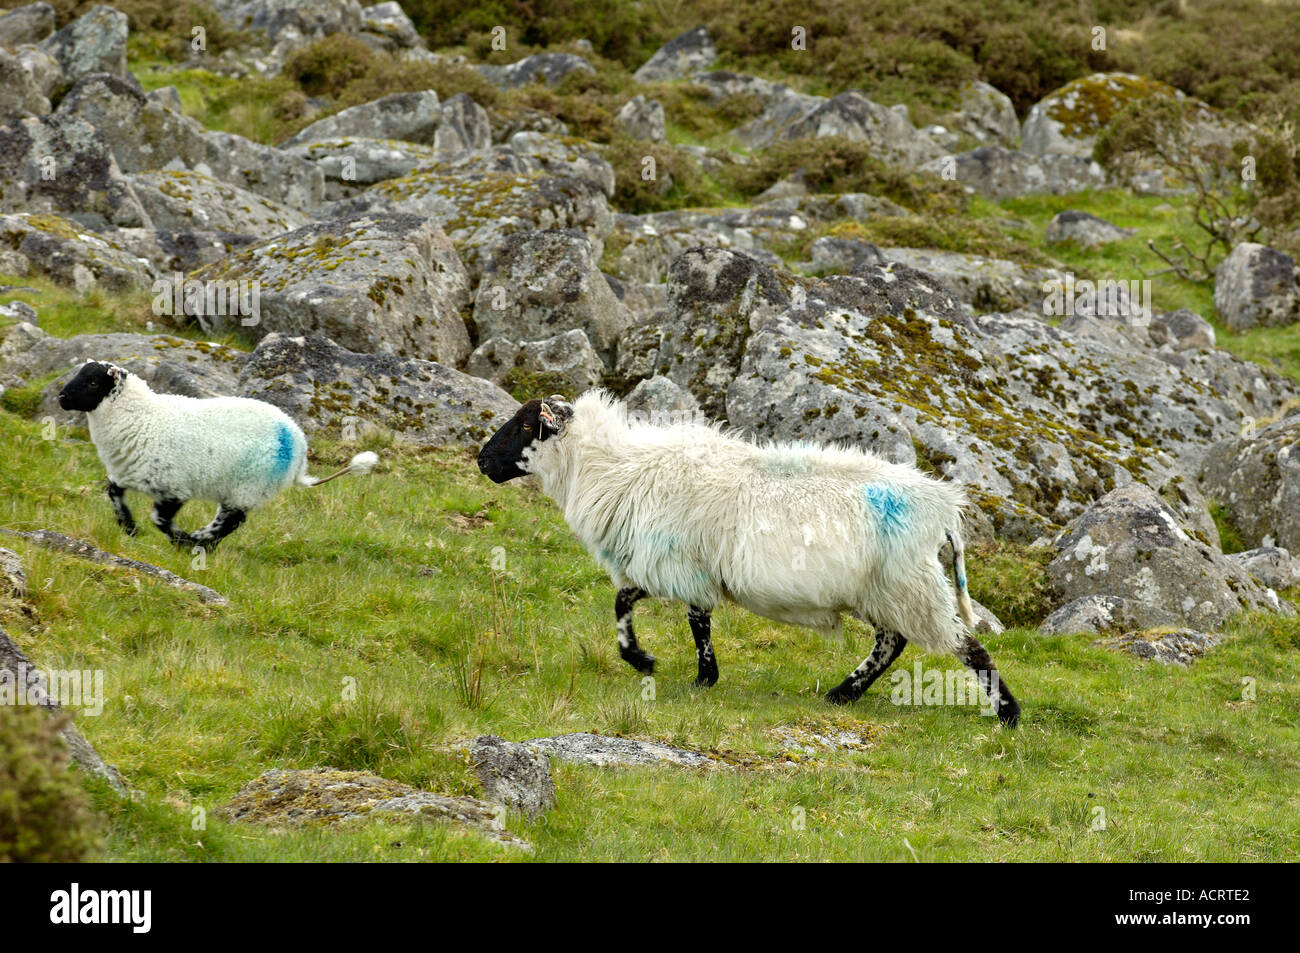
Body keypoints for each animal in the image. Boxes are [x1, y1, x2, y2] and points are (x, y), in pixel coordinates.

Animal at [57, 361, 378, 550]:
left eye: (93, 383)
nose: (61, 398)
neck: (142, 416)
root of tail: (297, 443)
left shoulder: (174, 487)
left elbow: (160, 520)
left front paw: (180, 539)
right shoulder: (125, 475)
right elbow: (114, 496)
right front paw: (130, 529)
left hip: (248, 486)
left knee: (231, 521)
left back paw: (199, 541)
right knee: (229, 520)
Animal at [477, 391, 1020, 725]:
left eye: (525, 424)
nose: (482, 461)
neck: (611, 467)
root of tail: (943, 508)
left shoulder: (677, 562)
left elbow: (655, 610)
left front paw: (674, 670)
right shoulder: (678, 565)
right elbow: (647, 606)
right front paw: (667, 666)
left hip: (908, 584)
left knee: (963, 645)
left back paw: (1008, 714)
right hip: (886, 589)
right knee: (893, 643)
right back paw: (842, 694)